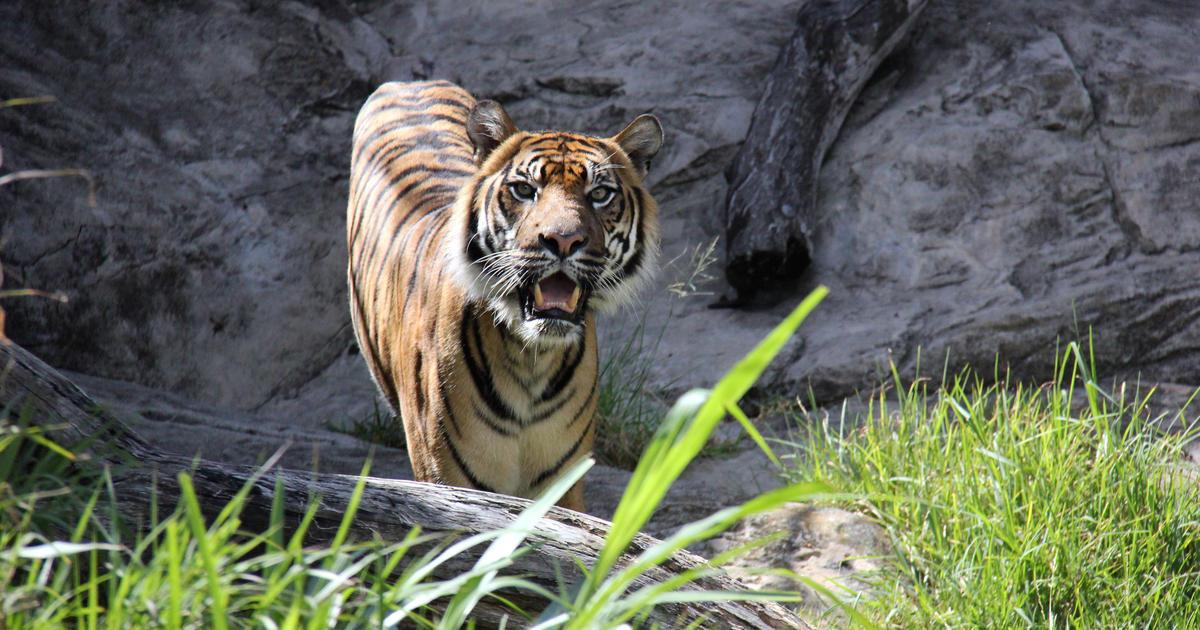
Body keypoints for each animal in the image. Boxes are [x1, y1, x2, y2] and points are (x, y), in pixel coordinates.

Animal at [346, 80, 663, 512]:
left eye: (599, 194)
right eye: (525, 190)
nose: (563, 240)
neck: (532, 361)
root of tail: (409, 83)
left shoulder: (563, 489)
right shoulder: (451, 484)